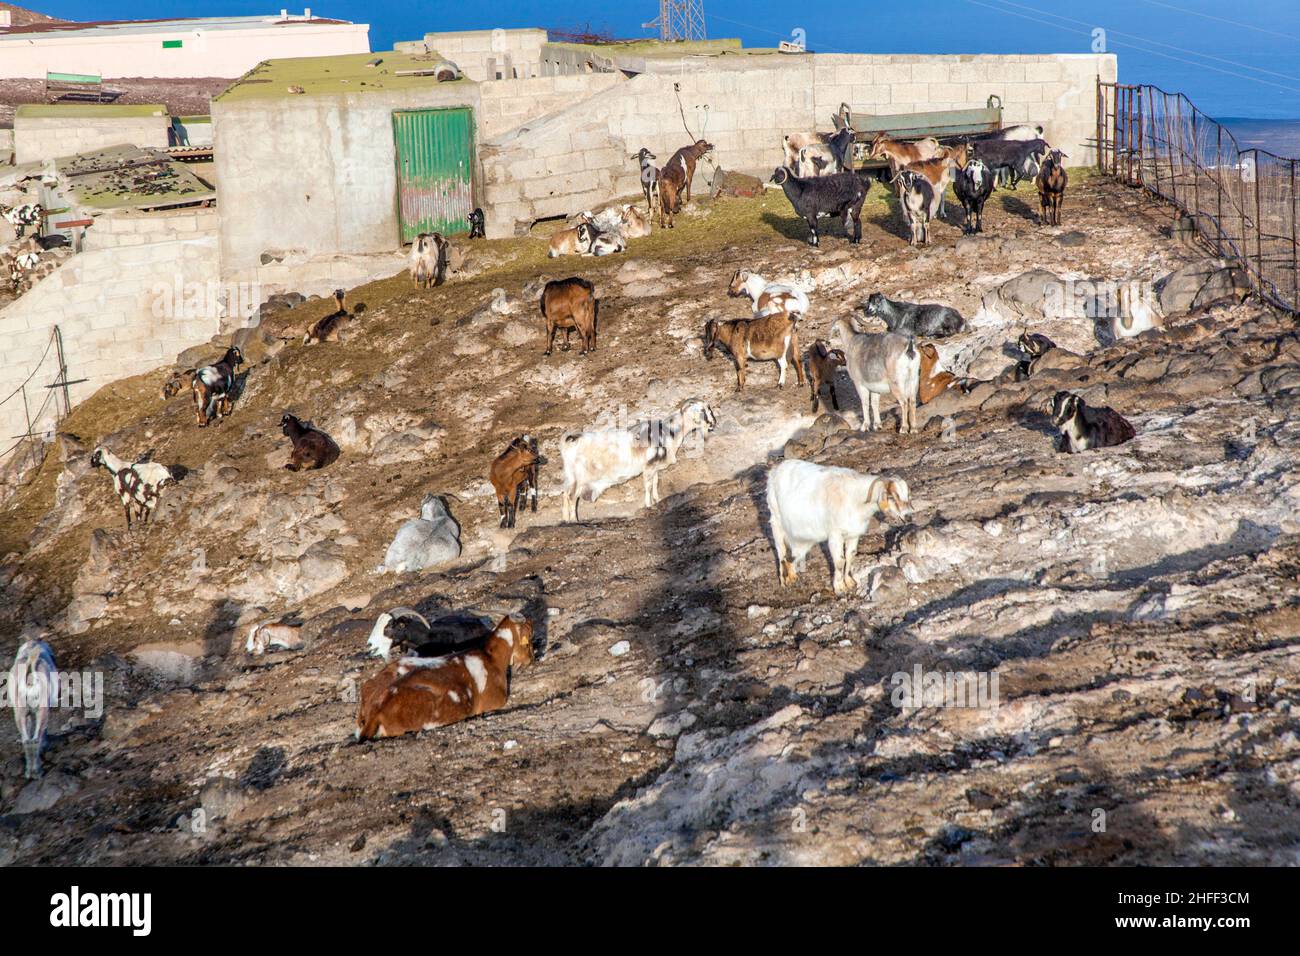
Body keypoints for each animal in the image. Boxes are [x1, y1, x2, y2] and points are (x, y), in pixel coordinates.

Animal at [10, 640, 58, 779]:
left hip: (20, 713)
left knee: (27, 741)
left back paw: (28, 773)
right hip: (41, 710)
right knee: (36, 739)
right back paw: (37, 772)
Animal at [766, 459, 913, 594]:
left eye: (906, 495)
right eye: (892, 497)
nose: (908, 516)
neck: (854, 499)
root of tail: (775, 471)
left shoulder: (854, 535)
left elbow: (850, 556)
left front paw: (850, 582)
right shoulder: (835, 536)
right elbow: (839, 561)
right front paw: (840, 588)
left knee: (791, 557)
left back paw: (792, 577)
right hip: (776, 523)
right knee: (781, 553)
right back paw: (784, 582)